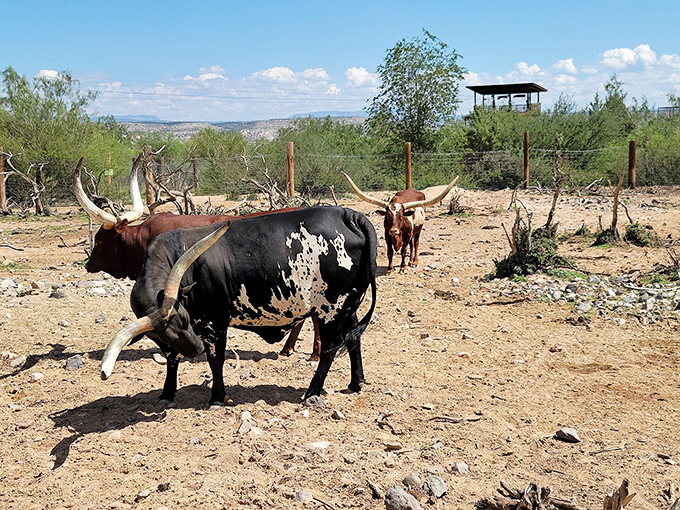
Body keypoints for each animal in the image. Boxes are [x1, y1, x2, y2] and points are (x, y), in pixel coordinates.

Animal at [99, 206, 378, 405]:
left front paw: (217, 397)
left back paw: (312, 392)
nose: (196, 347)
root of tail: (349, 215)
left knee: (331, 348)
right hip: (349, 307)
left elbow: (216, 360)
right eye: (163, 335)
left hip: (331, 309)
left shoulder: (215, 323)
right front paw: (167, 393)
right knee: (354, 340)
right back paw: (356, 383)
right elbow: (172, 359)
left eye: (186, 320)